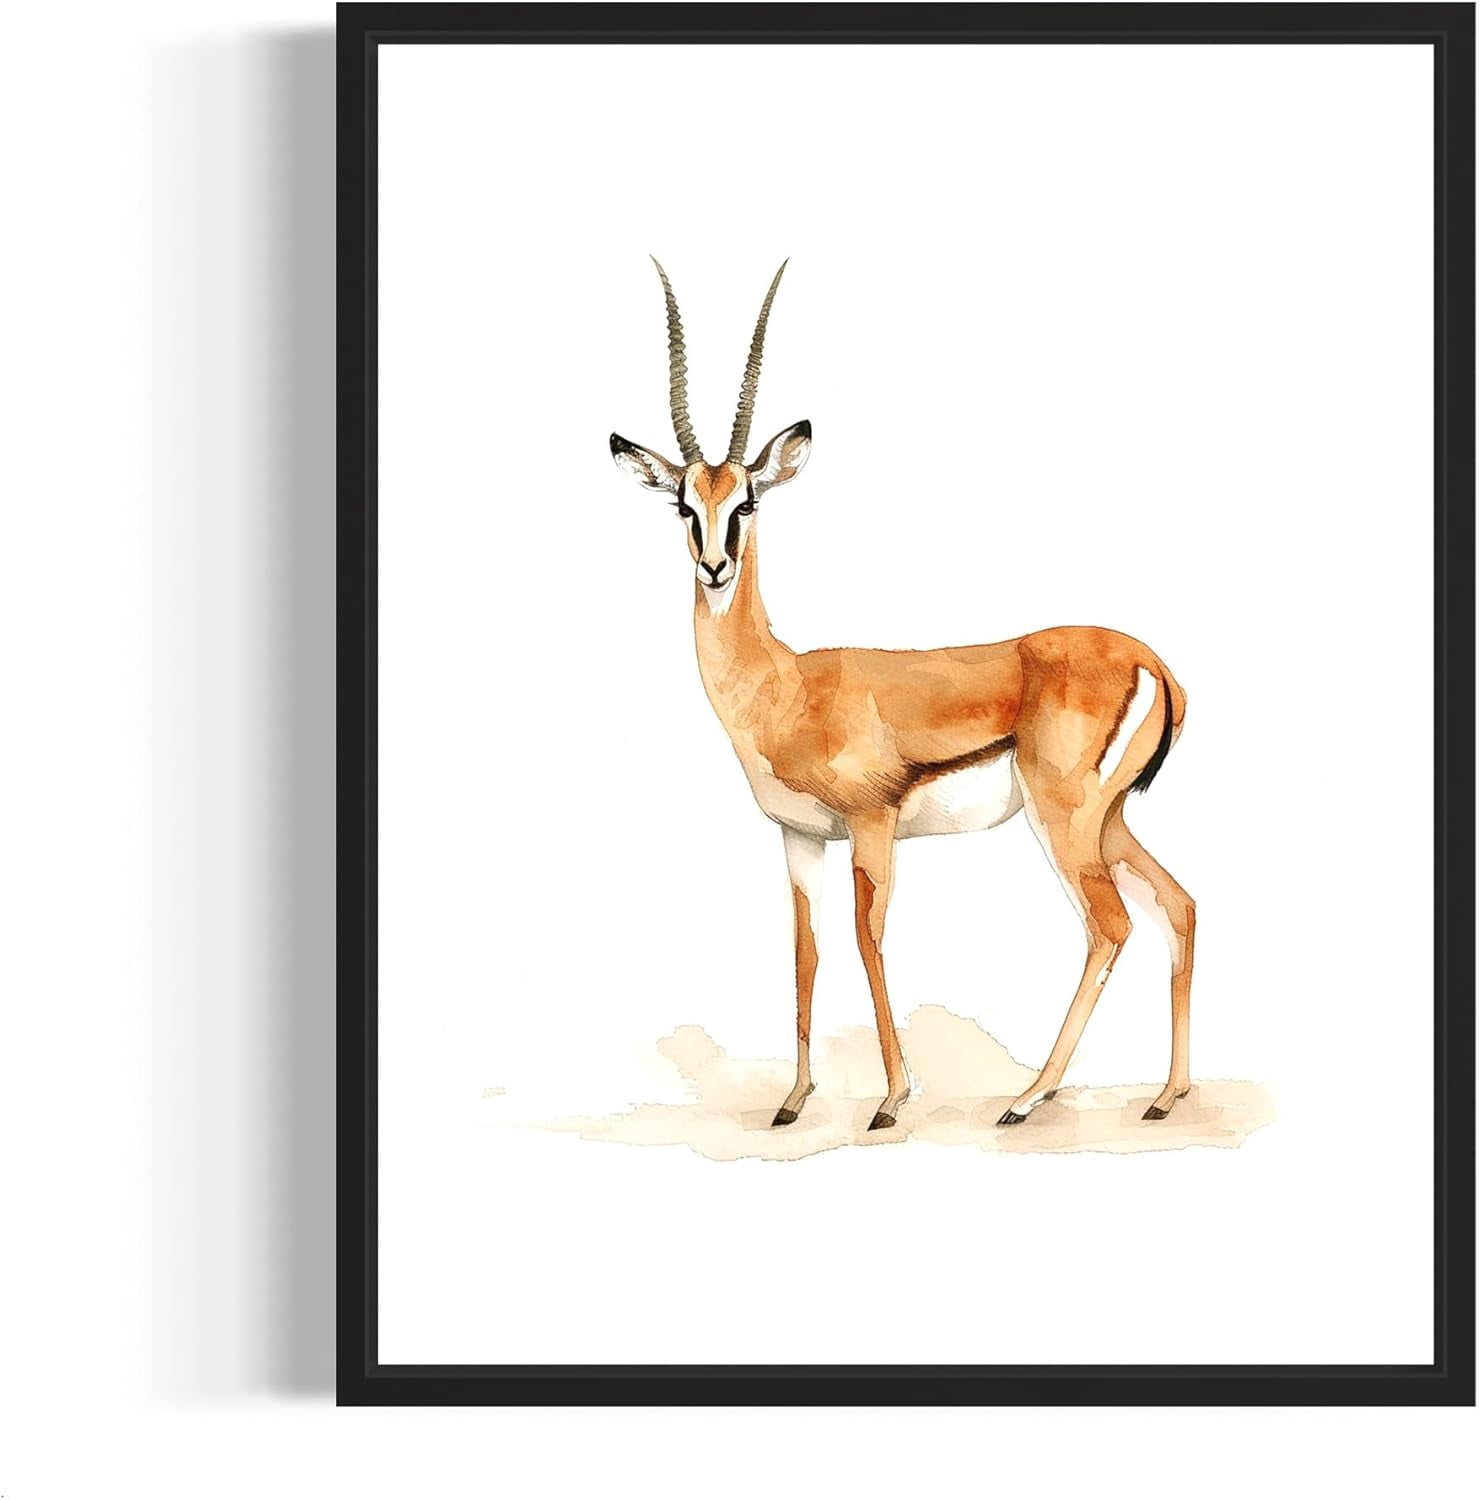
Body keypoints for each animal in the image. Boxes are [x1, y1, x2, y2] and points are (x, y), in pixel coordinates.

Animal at [610, 260, 1195, 1132]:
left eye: (746, 502)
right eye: (685, 505)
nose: (714, 567)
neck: (784, 687)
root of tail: (1152, 660)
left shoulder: (872, 824)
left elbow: (868, 940)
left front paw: (889, 1100)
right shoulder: (799, 837)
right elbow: (805, 952)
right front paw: (792, 1100)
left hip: (1066, 819)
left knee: (1110, 925)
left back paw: (1028, 1098)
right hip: (1109, 819)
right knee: (1177, 906)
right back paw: (1165, 1095)